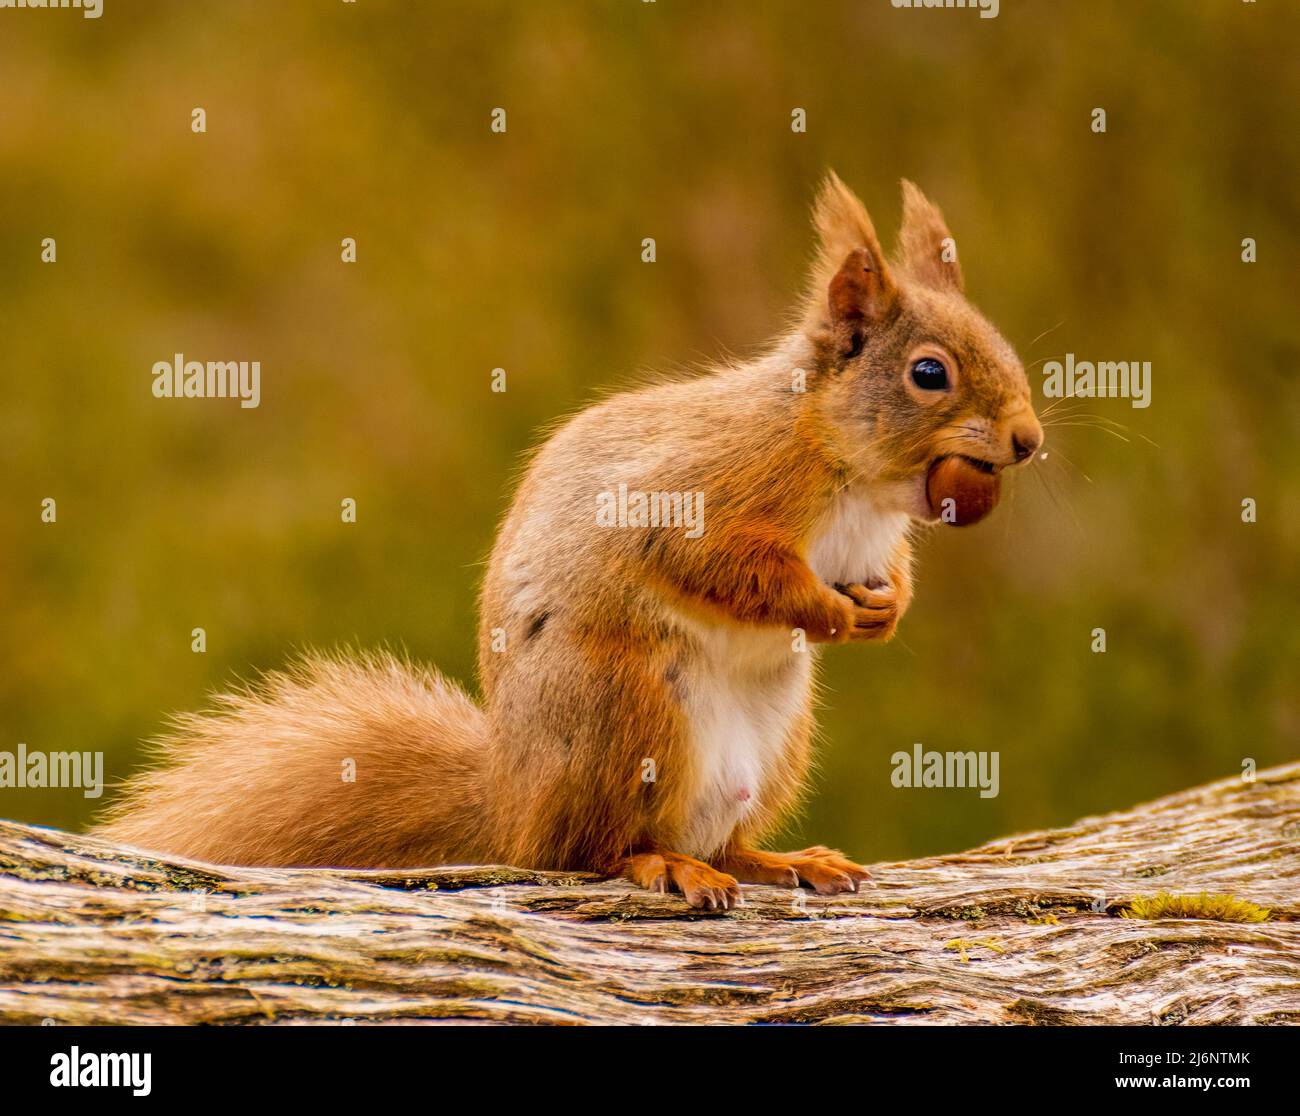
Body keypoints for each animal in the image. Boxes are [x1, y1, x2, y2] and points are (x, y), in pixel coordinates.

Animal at [97, 172, 1042, 909]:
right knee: (592, 853)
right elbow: (718, 563)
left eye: (1003, 345)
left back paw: (776, 859)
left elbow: (890, 574)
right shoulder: (706, 490)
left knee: (721, 841)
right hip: (626, 709)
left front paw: (886, 609)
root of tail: (511, 801)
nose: (1029, 440)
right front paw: (826, 610)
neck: (848, 469)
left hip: (777, 738)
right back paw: (662, 865)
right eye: (929, 373)